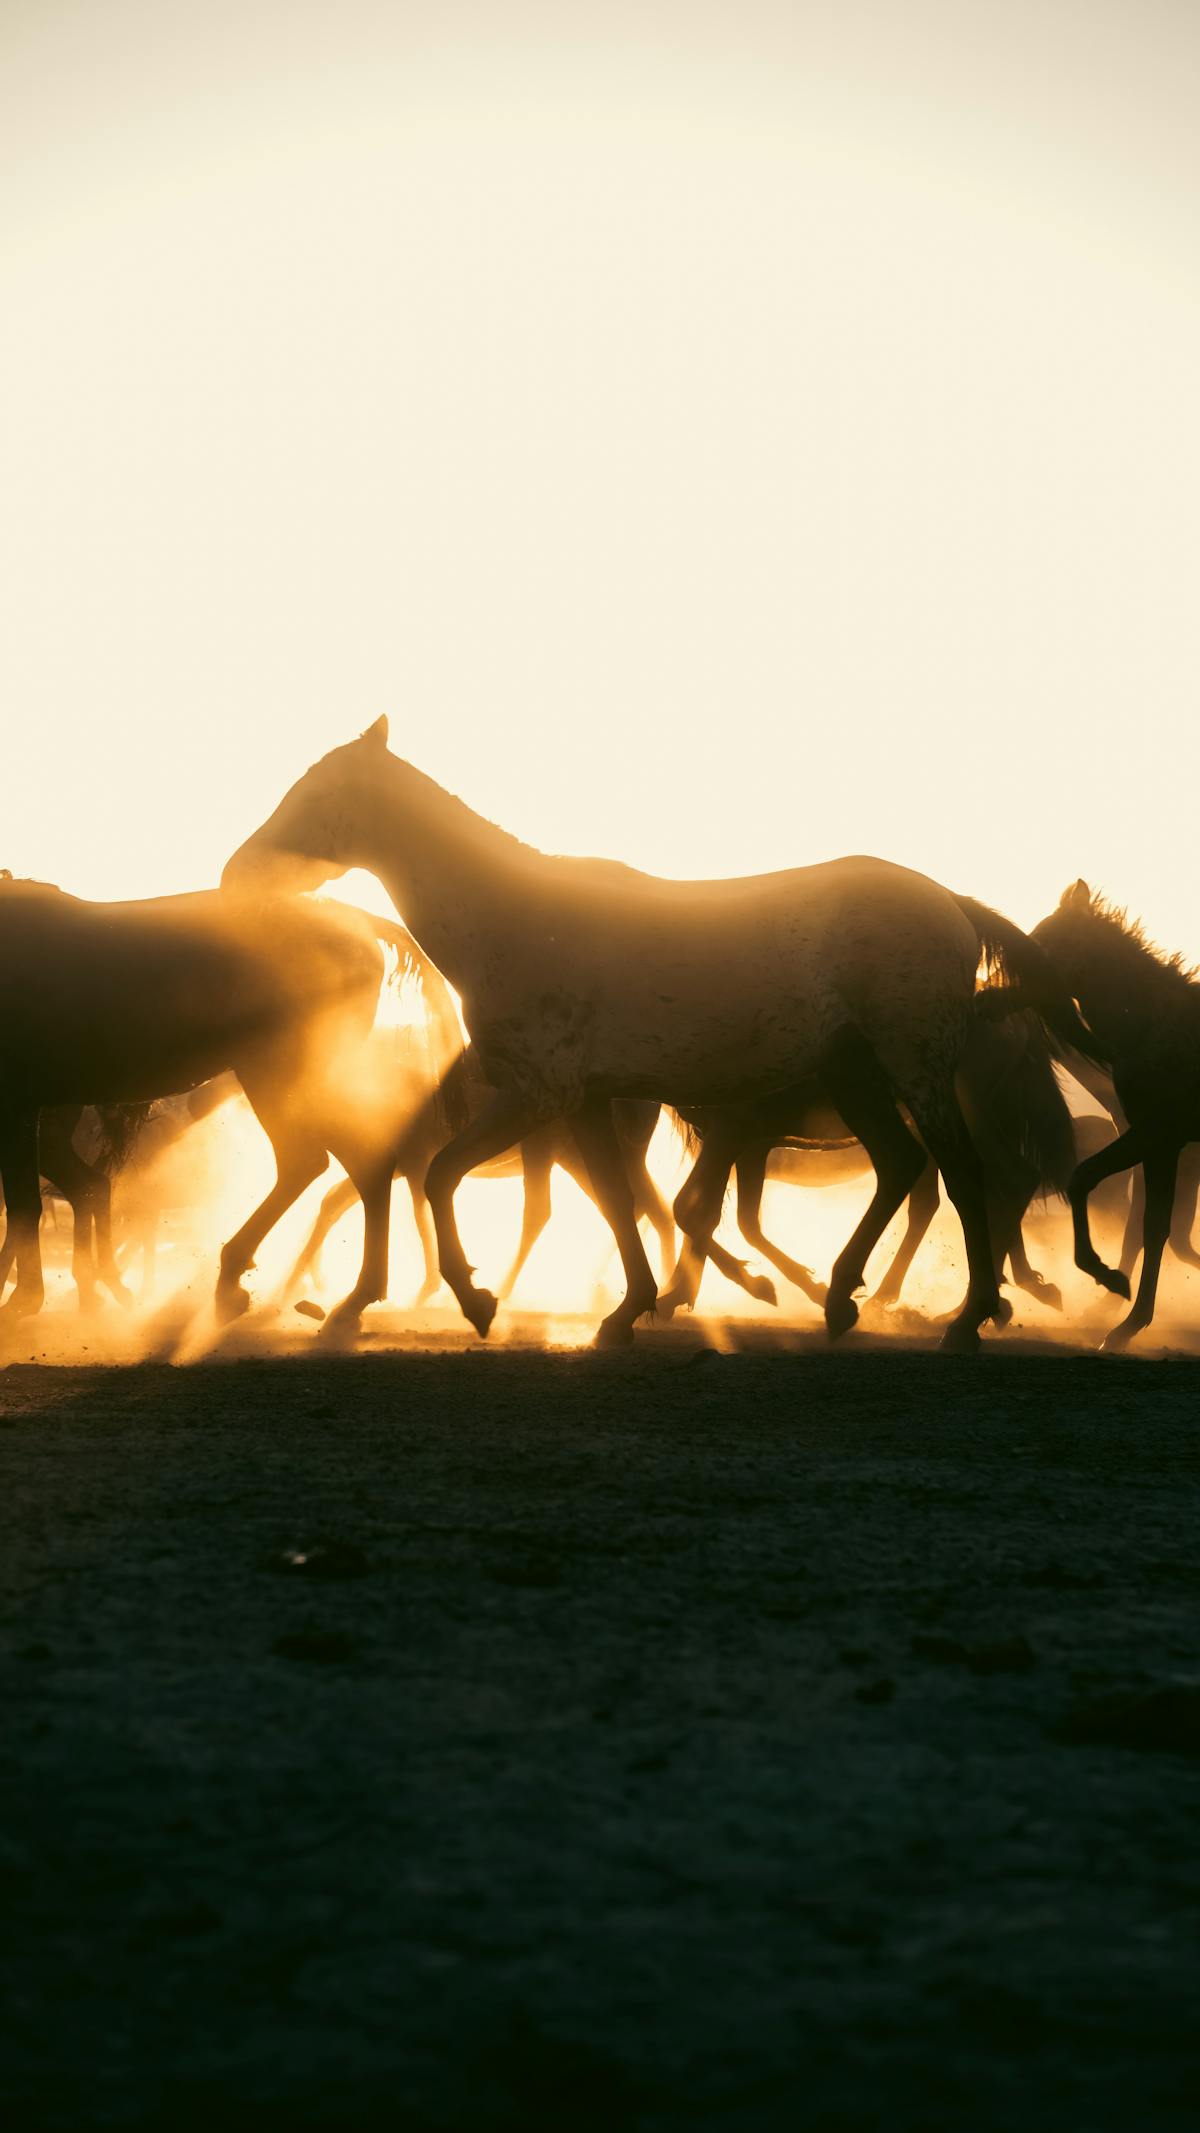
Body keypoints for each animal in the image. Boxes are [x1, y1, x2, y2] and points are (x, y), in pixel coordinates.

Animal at [0, 878, 447, 1330]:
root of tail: (356, 921)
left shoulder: (18, 1105)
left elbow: (22, 1206)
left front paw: (23, 1299)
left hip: (278, 1074)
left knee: (317, 1162)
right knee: (348, 1163)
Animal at [222, 717, 1096, 1351]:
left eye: (312, 792)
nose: (237, 871)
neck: (518, 921)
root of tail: (949, 902)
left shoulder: (540, 1093)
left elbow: (442, 1175)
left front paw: (478, 1297)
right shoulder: (586, 1103)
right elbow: (619, 1201)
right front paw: (628, 1309)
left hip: (914, 1071)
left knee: (962, 1176)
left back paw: (967, 1315)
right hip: (857, 1080)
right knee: (901, 1166)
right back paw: (842, 1297)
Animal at [984, 879, 1200, 1349]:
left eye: (1043, 948)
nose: (986, 995)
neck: (1145, 1026)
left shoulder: (1158, 1133)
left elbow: (1116, 1203)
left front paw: (1118, 1307)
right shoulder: (1160, 1140)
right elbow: (1150, 1224)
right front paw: (1117, 1301)